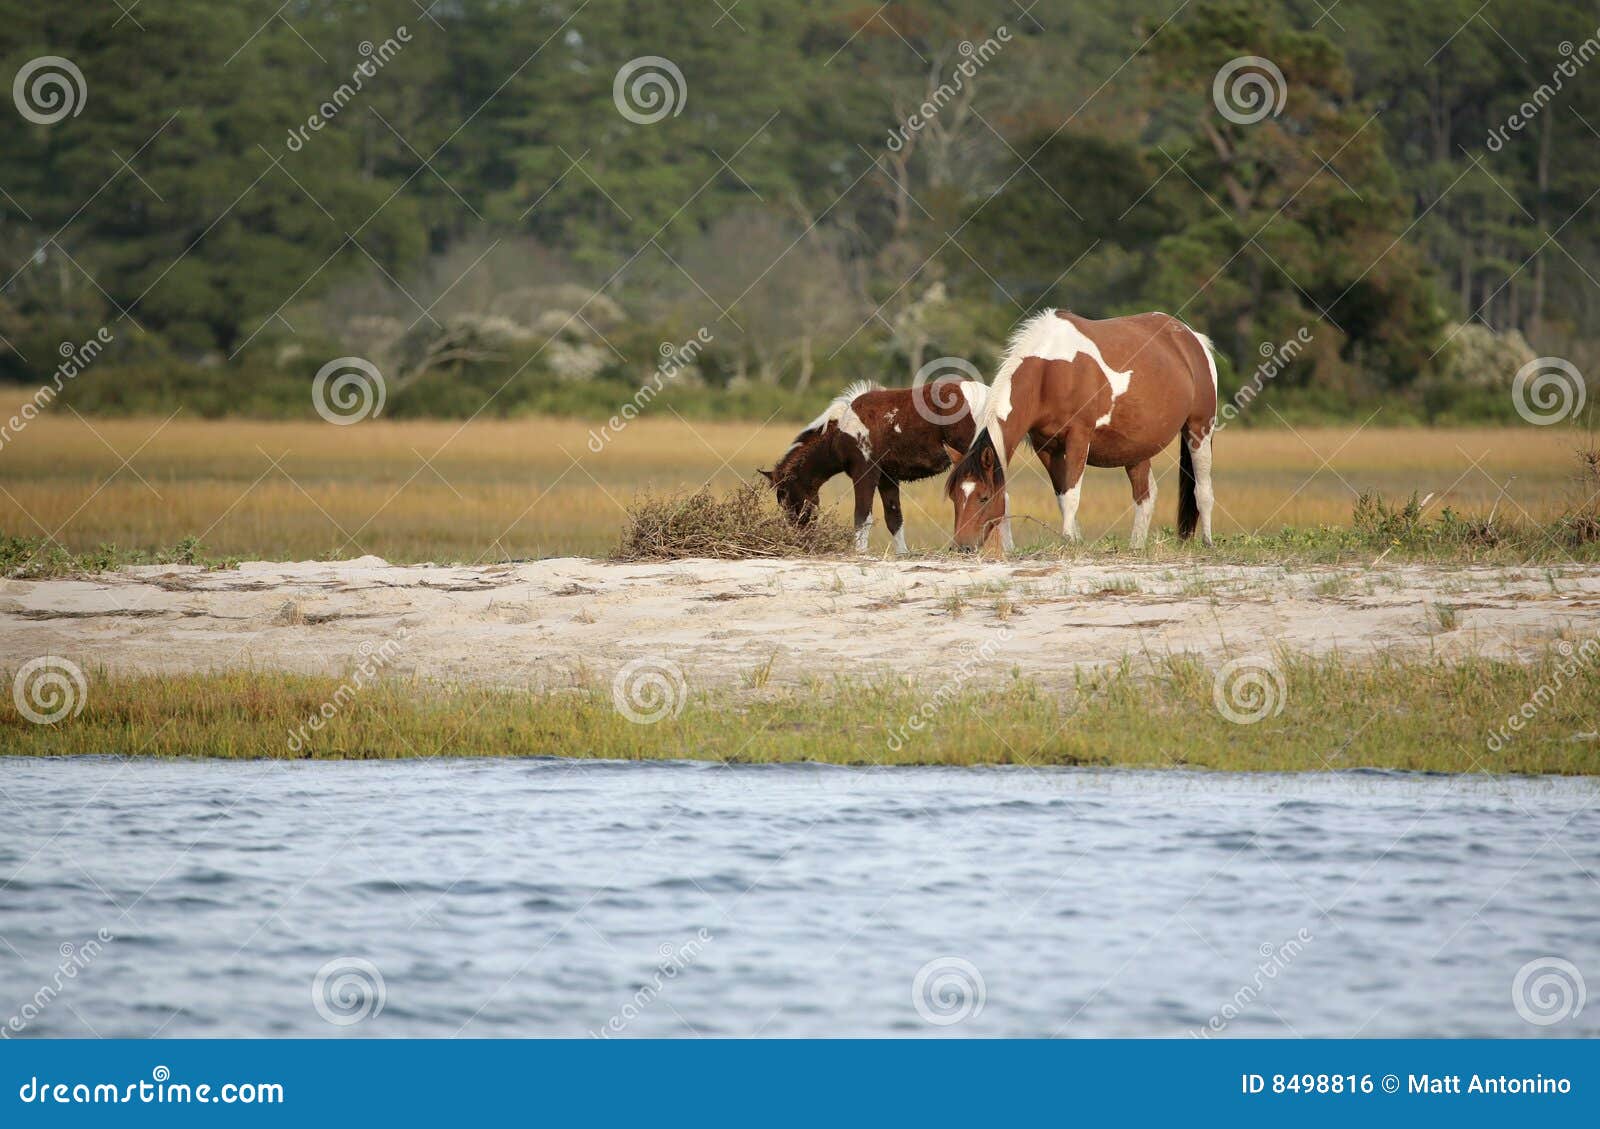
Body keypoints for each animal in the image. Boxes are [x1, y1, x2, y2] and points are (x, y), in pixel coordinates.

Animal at [761, 378, 1001, 554]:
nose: (798, 537)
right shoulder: (888, 477)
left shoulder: (865, 472)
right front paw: (902, 554)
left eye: (785, 496)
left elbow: (862, 516)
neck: (840, 432)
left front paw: (860, 553)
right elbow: (894, 518)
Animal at [945, 309, 1217, 552]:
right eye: (954, 497)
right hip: (1136, 450)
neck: (1049, 373)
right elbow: (1062, 494)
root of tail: (1191, 338)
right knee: (1145, 496)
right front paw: (1074, 541)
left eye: (984, 497)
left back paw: (1207, 541)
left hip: (1199, 429)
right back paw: (1136, 547)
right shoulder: (1047, 447)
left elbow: (1072, 495)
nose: (962, 547)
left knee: (1202, 490)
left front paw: (1068, 541)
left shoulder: (1078, 438)